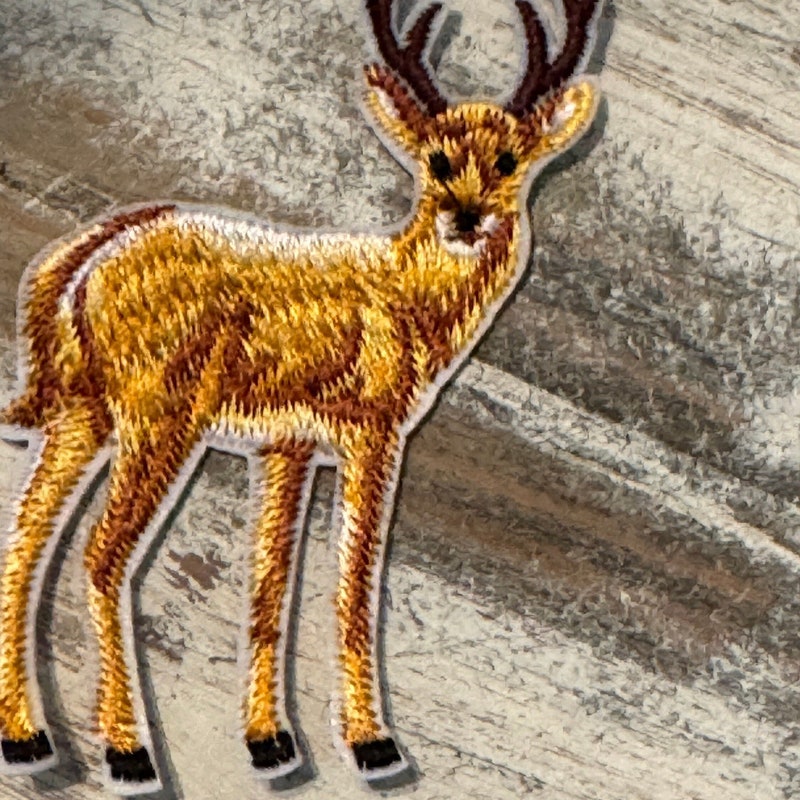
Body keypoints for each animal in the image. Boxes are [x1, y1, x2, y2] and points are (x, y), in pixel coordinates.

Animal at [0, 0, 603, 793]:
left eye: (509, 161)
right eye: (437, 160)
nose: (466, 218)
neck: (408, 300)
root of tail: (84, 255)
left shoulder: (286, 442)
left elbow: (268, 586)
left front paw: (271, 743)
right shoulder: (375, 429)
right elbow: (354, 583)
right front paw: (374, 745)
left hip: (86, 408)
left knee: (25, 533)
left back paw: (28, 738)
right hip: (161, 413)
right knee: (101, 553)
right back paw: (128, 753)